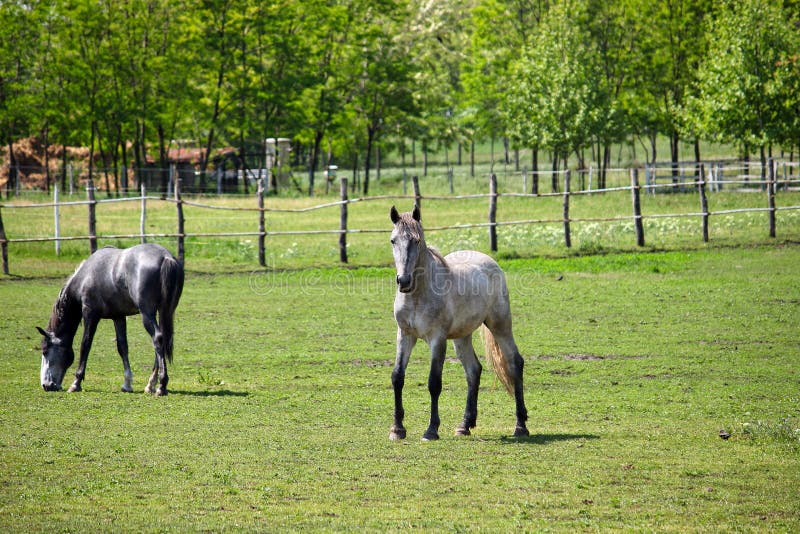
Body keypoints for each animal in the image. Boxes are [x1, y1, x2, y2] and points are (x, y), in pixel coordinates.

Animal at [37, 243, 184, 396]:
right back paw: (151, 385)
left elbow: (85, 345)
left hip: (147, 313)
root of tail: (165, 257)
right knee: (162, 340)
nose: (46, 385)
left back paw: (161, 385)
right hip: (164, 311)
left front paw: (76, 383)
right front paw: (127, 384)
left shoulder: (90, 314)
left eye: (45, 351)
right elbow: (122, 347)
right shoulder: (118, 316)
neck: (85, 277)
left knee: (157, 338)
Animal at [388, 205, 529, 440]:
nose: (404, 281)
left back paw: (520, 426)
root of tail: (489, 261)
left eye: (416, 240)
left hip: (500, 325)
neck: (418, 294)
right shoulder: (405, 335)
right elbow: (398, 377)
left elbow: (434, 382)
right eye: (393, 240)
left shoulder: (437, 339)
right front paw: (397, 429)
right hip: (462, 336)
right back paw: (465, 425)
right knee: (473, 370)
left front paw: (431, 430)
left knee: (514, 362)